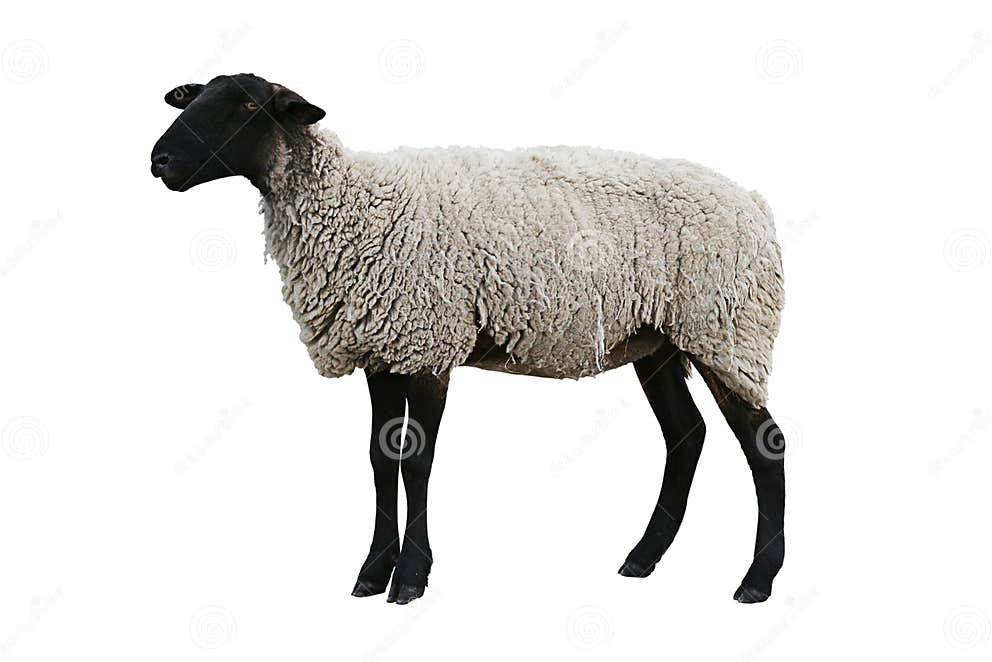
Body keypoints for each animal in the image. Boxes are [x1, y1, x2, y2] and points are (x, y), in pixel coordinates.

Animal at [151, 73, 787, 605]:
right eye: (195, 99)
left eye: (248, 105)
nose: (160, 159)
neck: (352, 205)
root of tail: (756, 204)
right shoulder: (383, 349)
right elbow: (379, 459)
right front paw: (371, 573)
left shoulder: (429, 342)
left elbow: (416, 461)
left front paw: (411, 578)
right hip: (659, 340)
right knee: (685, 434)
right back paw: (643, 558)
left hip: (726, 329)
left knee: (765, 444)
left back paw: (756, 580)